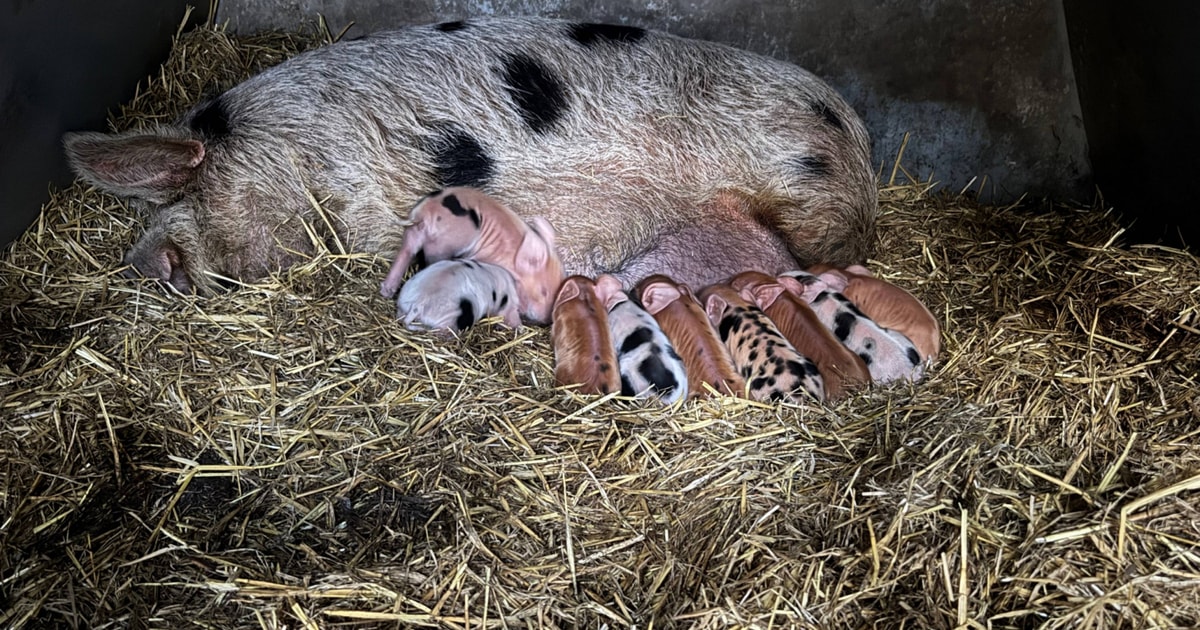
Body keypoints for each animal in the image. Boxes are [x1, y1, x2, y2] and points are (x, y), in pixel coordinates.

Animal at [379, 187, 563, 324]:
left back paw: (386, 292)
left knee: (405, 252)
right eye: (544, 291)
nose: (547, 321)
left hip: (412, 234)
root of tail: (424, 214)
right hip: (441, 246)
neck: (510, 259)